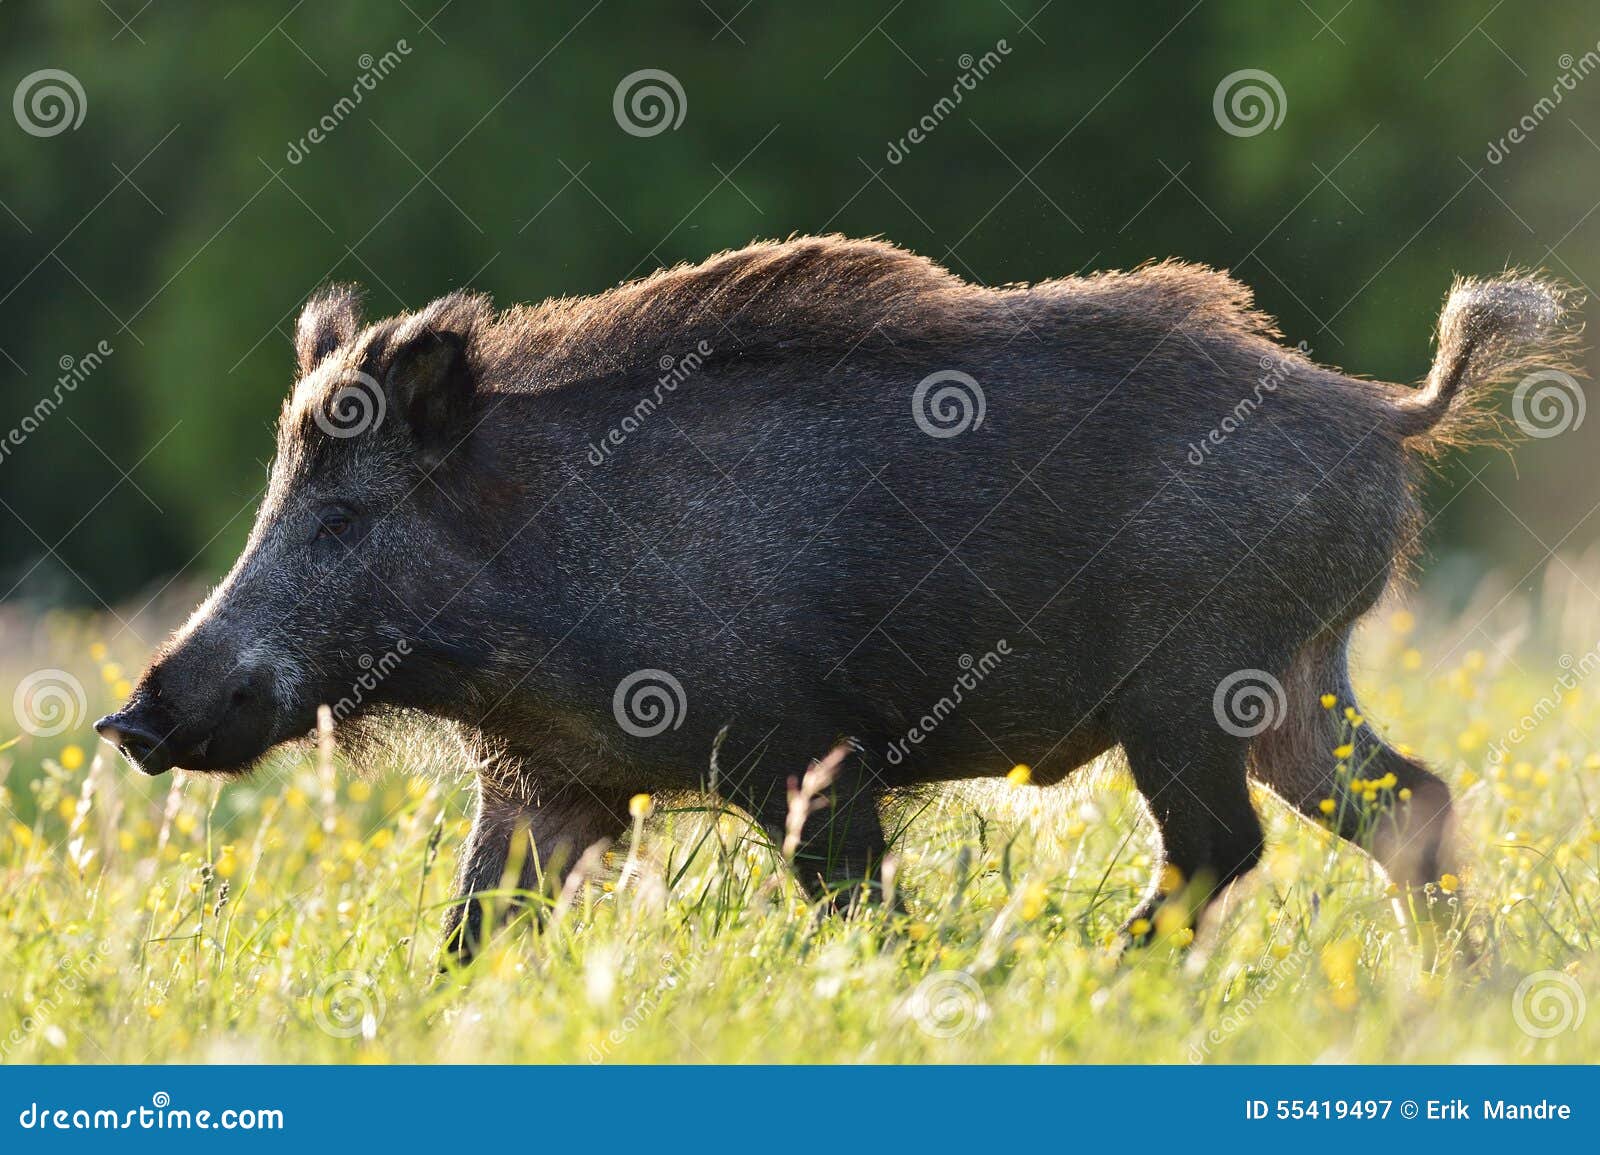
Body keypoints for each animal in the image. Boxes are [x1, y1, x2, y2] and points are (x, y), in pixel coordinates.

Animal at [95, 236, 1580, 961]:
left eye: (345, 515)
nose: (129, 719)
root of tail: (1387, 412)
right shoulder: (549, 780)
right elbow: (469, 935)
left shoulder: (797, 753)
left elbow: (853, 905)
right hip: (1289, 685)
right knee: (1410, 804)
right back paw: (1468, 988)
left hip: (1192, 683)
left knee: (1227, 847)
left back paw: (1110, 972)